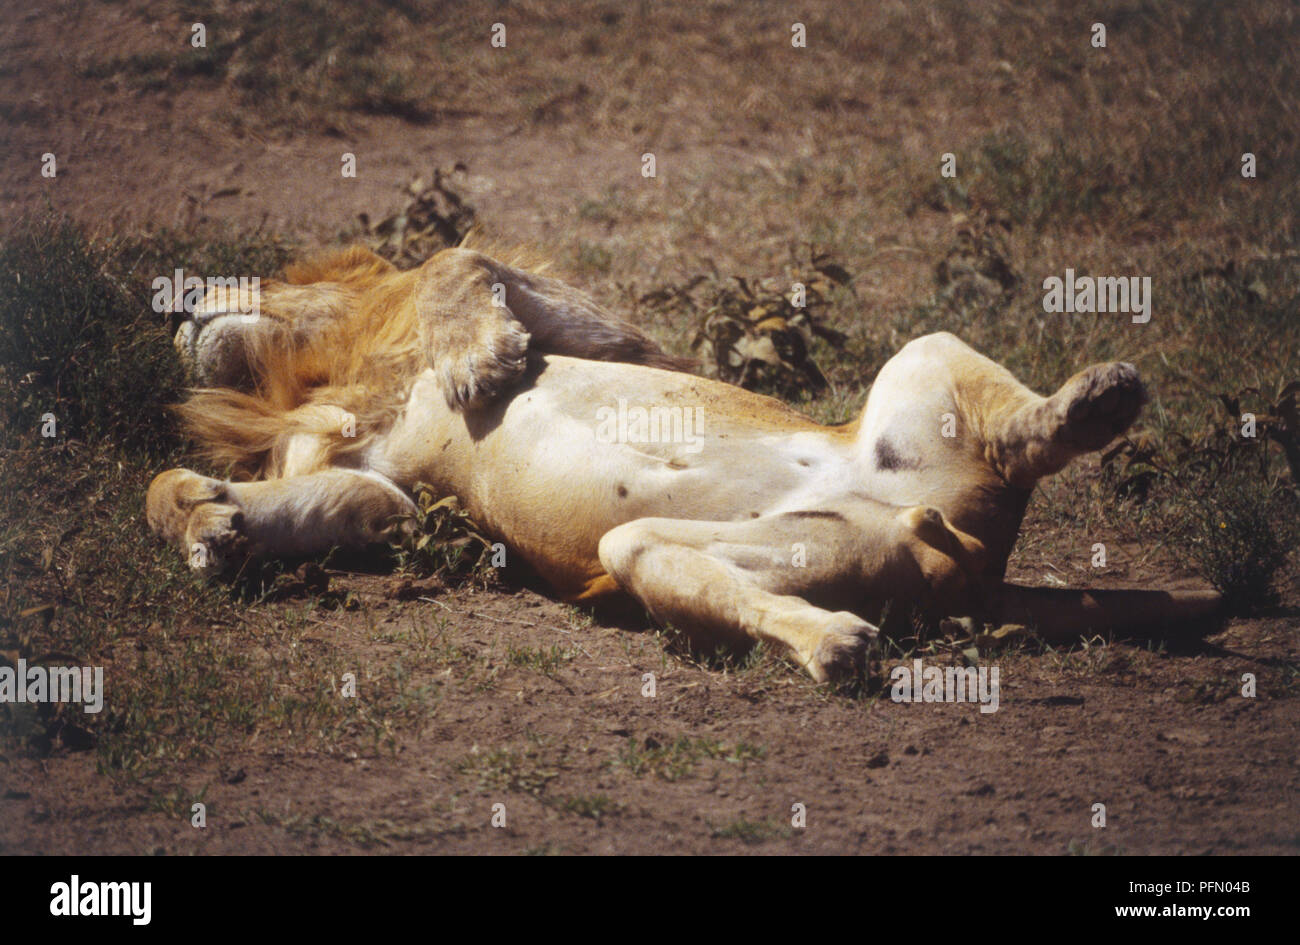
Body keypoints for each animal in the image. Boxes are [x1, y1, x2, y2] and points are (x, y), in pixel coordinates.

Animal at [147, 243, 1220, 681]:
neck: (341, 371)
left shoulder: (614, 338)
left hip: (926, 350)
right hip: (699, 547)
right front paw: (210, 525)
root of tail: (970, 567)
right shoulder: (386, 494)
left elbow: (456, 261)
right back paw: (835, 646)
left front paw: (481, 357)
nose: (182, 299)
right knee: (718, 580)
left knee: (1030, 427)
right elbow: (298, 497)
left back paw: (1101, 397)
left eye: (273, 274)